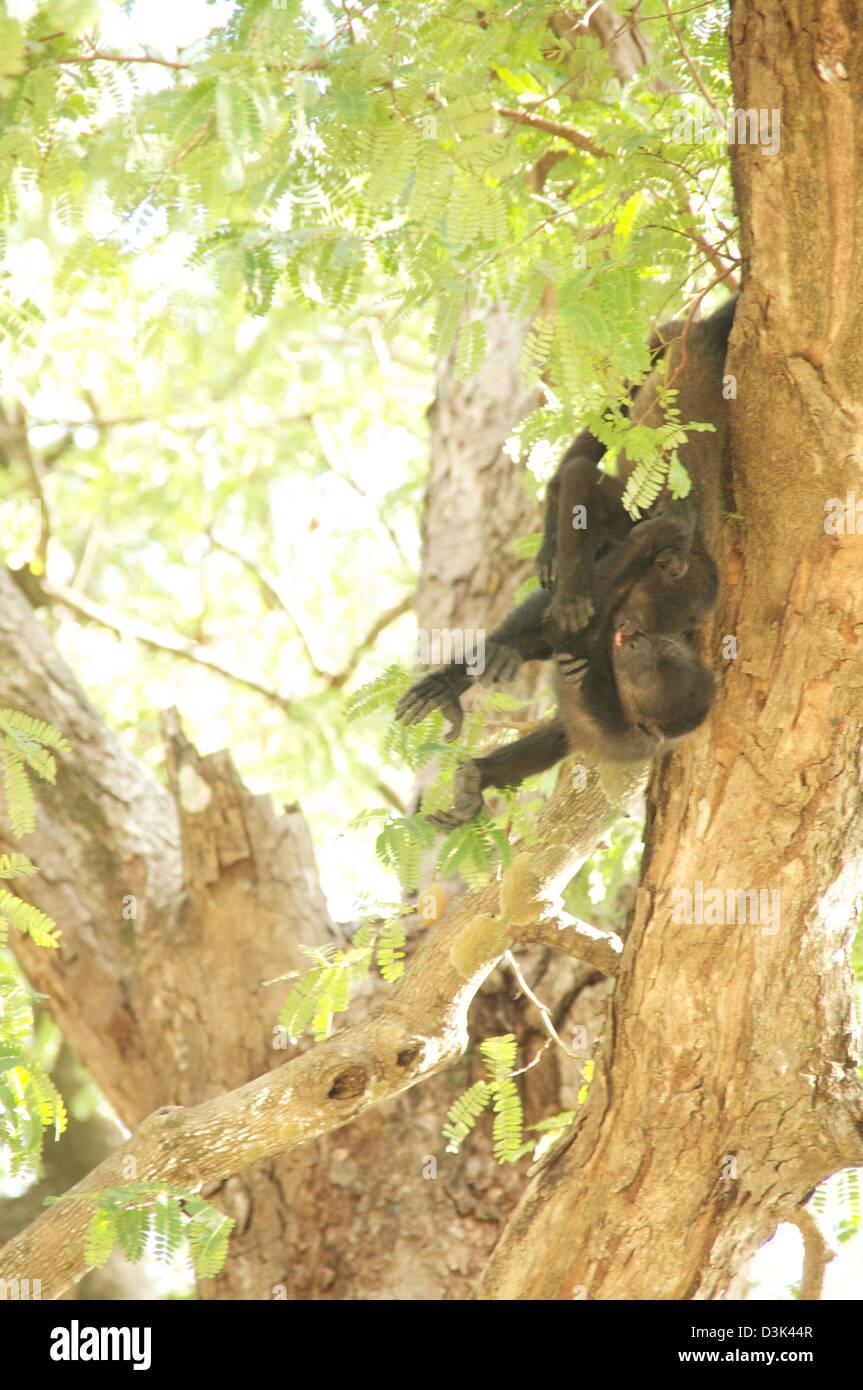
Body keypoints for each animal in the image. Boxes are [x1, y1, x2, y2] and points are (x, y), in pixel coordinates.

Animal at [537, 294, 737, 636]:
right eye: (647, 614)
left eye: (676, 626)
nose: (628, 630)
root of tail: (705, 332)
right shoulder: (640, 515)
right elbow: (582, 477)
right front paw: (571, 597)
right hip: (661, 344)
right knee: (615, 409)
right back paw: (552, 519)